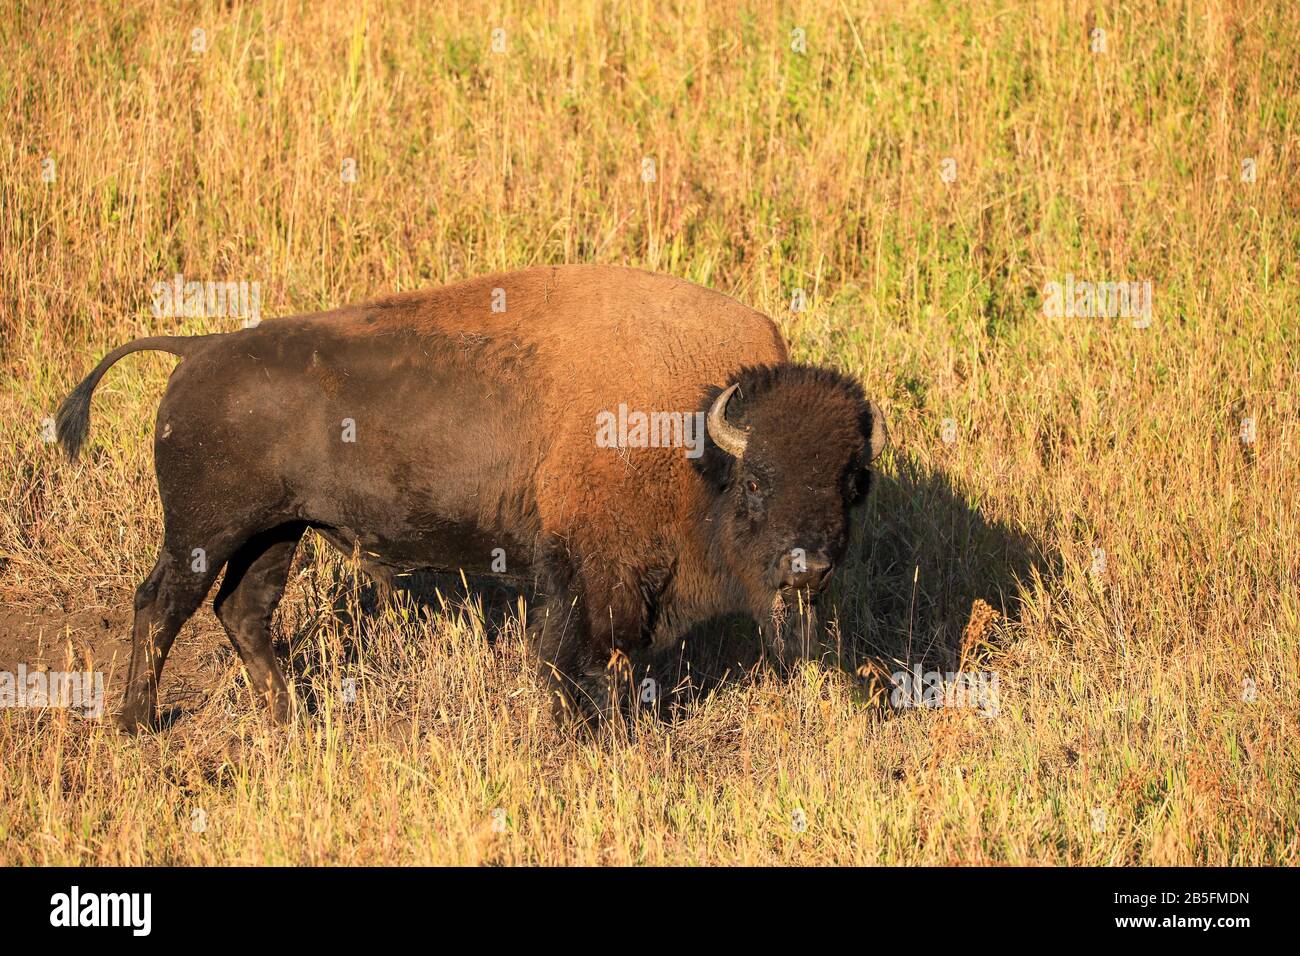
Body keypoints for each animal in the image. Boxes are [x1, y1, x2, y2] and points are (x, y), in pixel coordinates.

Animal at [57, 265, 887, 730]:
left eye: (851, 486)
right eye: (757, 481)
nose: (809, 568)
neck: (692, 429)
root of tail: (196, 351)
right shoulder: (591, 574)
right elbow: (580, 656)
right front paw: (589, 733)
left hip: (275, 534)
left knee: (242, 612)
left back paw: (293, 718)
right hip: (205, 533)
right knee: (161, 604)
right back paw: (137, 722)